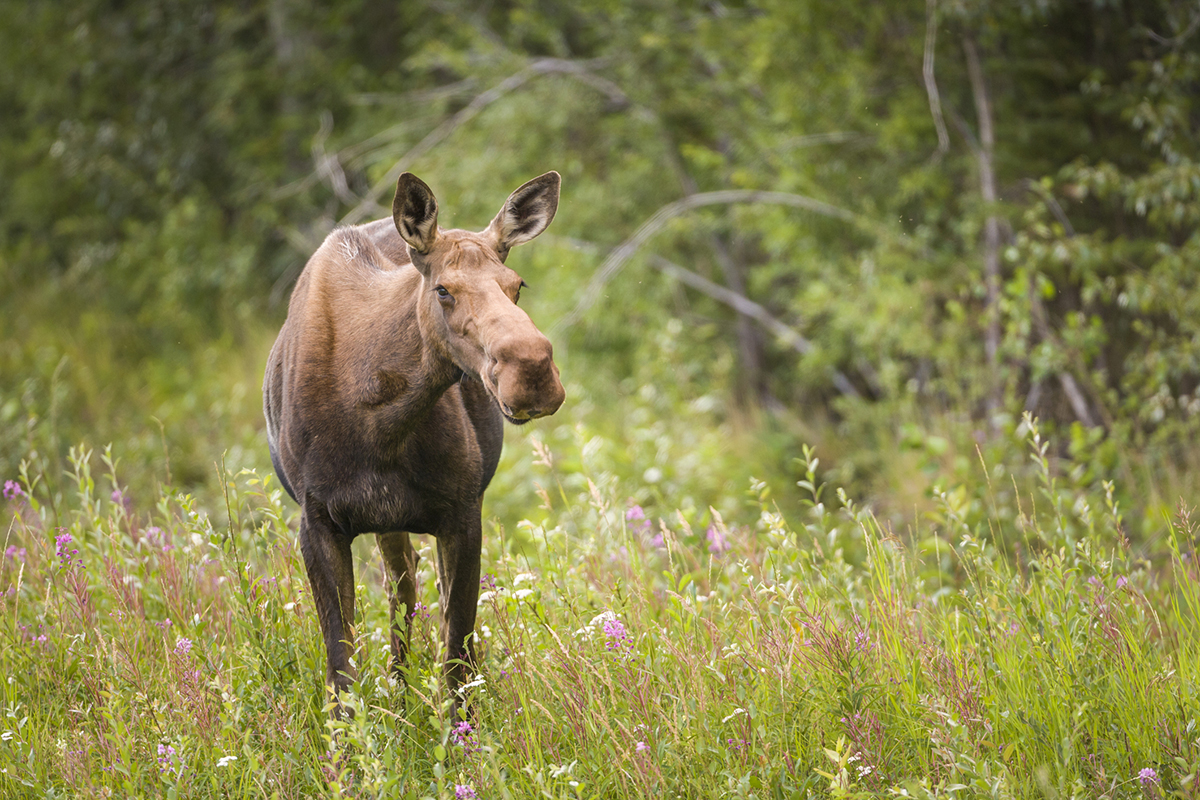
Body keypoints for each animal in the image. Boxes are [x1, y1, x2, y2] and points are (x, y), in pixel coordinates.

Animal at [263, 171, 565, 708]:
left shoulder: (462, 509)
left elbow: (457, 656)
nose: (532, 371)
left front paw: (461, 731)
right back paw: (399, 694)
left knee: (412, 591)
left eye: (517, 285)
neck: (380, 425)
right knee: (399, 588)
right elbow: (341, 671)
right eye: (443, 289)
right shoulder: (316, 519)